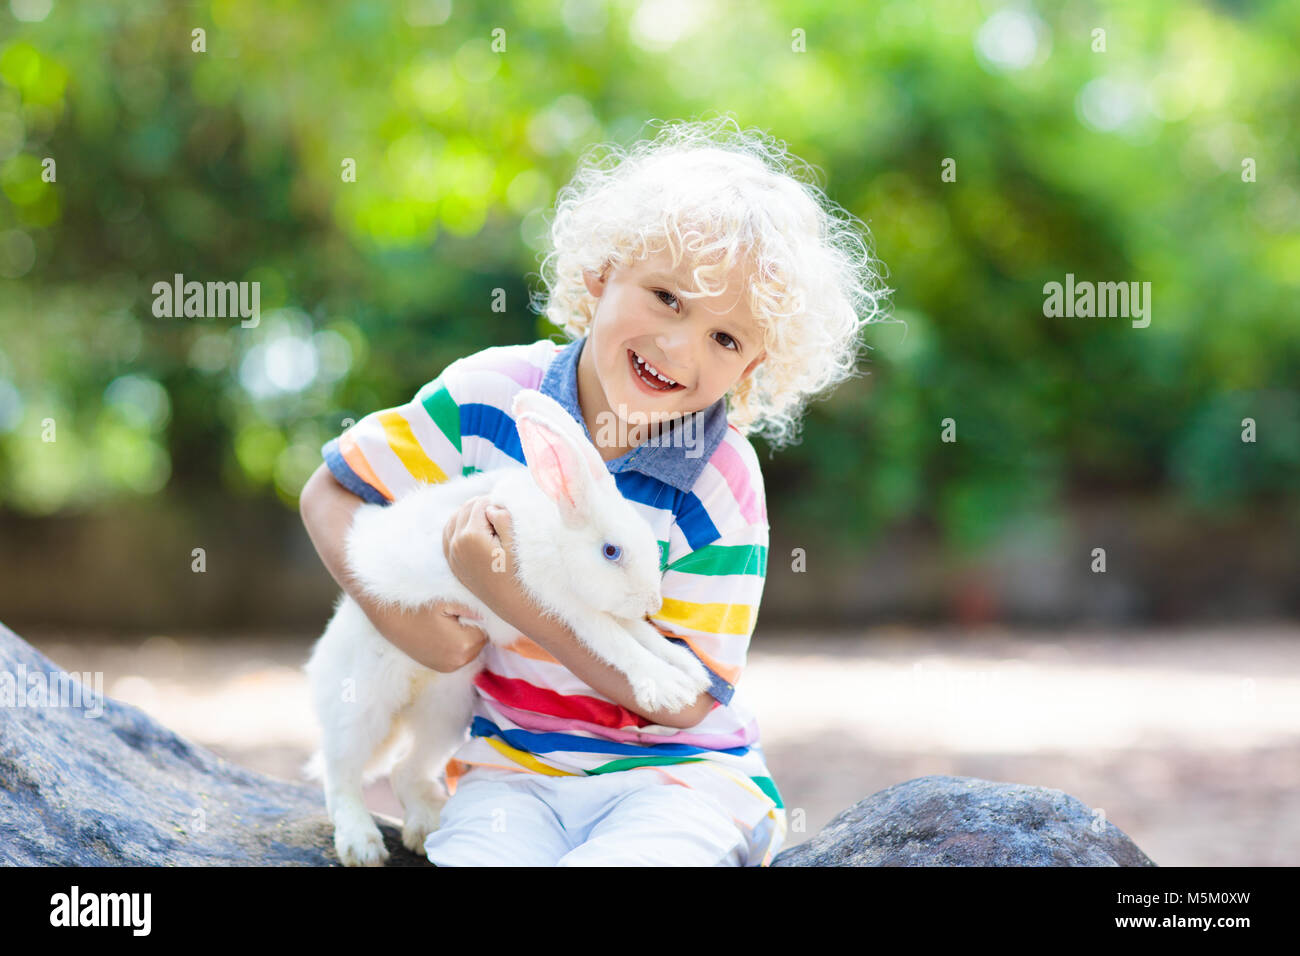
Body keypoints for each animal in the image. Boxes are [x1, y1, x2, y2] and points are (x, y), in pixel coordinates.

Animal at [302, 387, 714, 866]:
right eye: (611, 551)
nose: (652, 601)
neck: (558, 536)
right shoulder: (570, 609)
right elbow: (617, 644)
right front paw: (668, 689)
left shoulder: (612, 613)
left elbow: (645, 637)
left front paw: (692, 673)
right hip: (361, 708)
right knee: (341, 776)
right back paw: (362, 845)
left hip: (446, 713)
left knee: (406, 770)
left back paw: (424, 829)